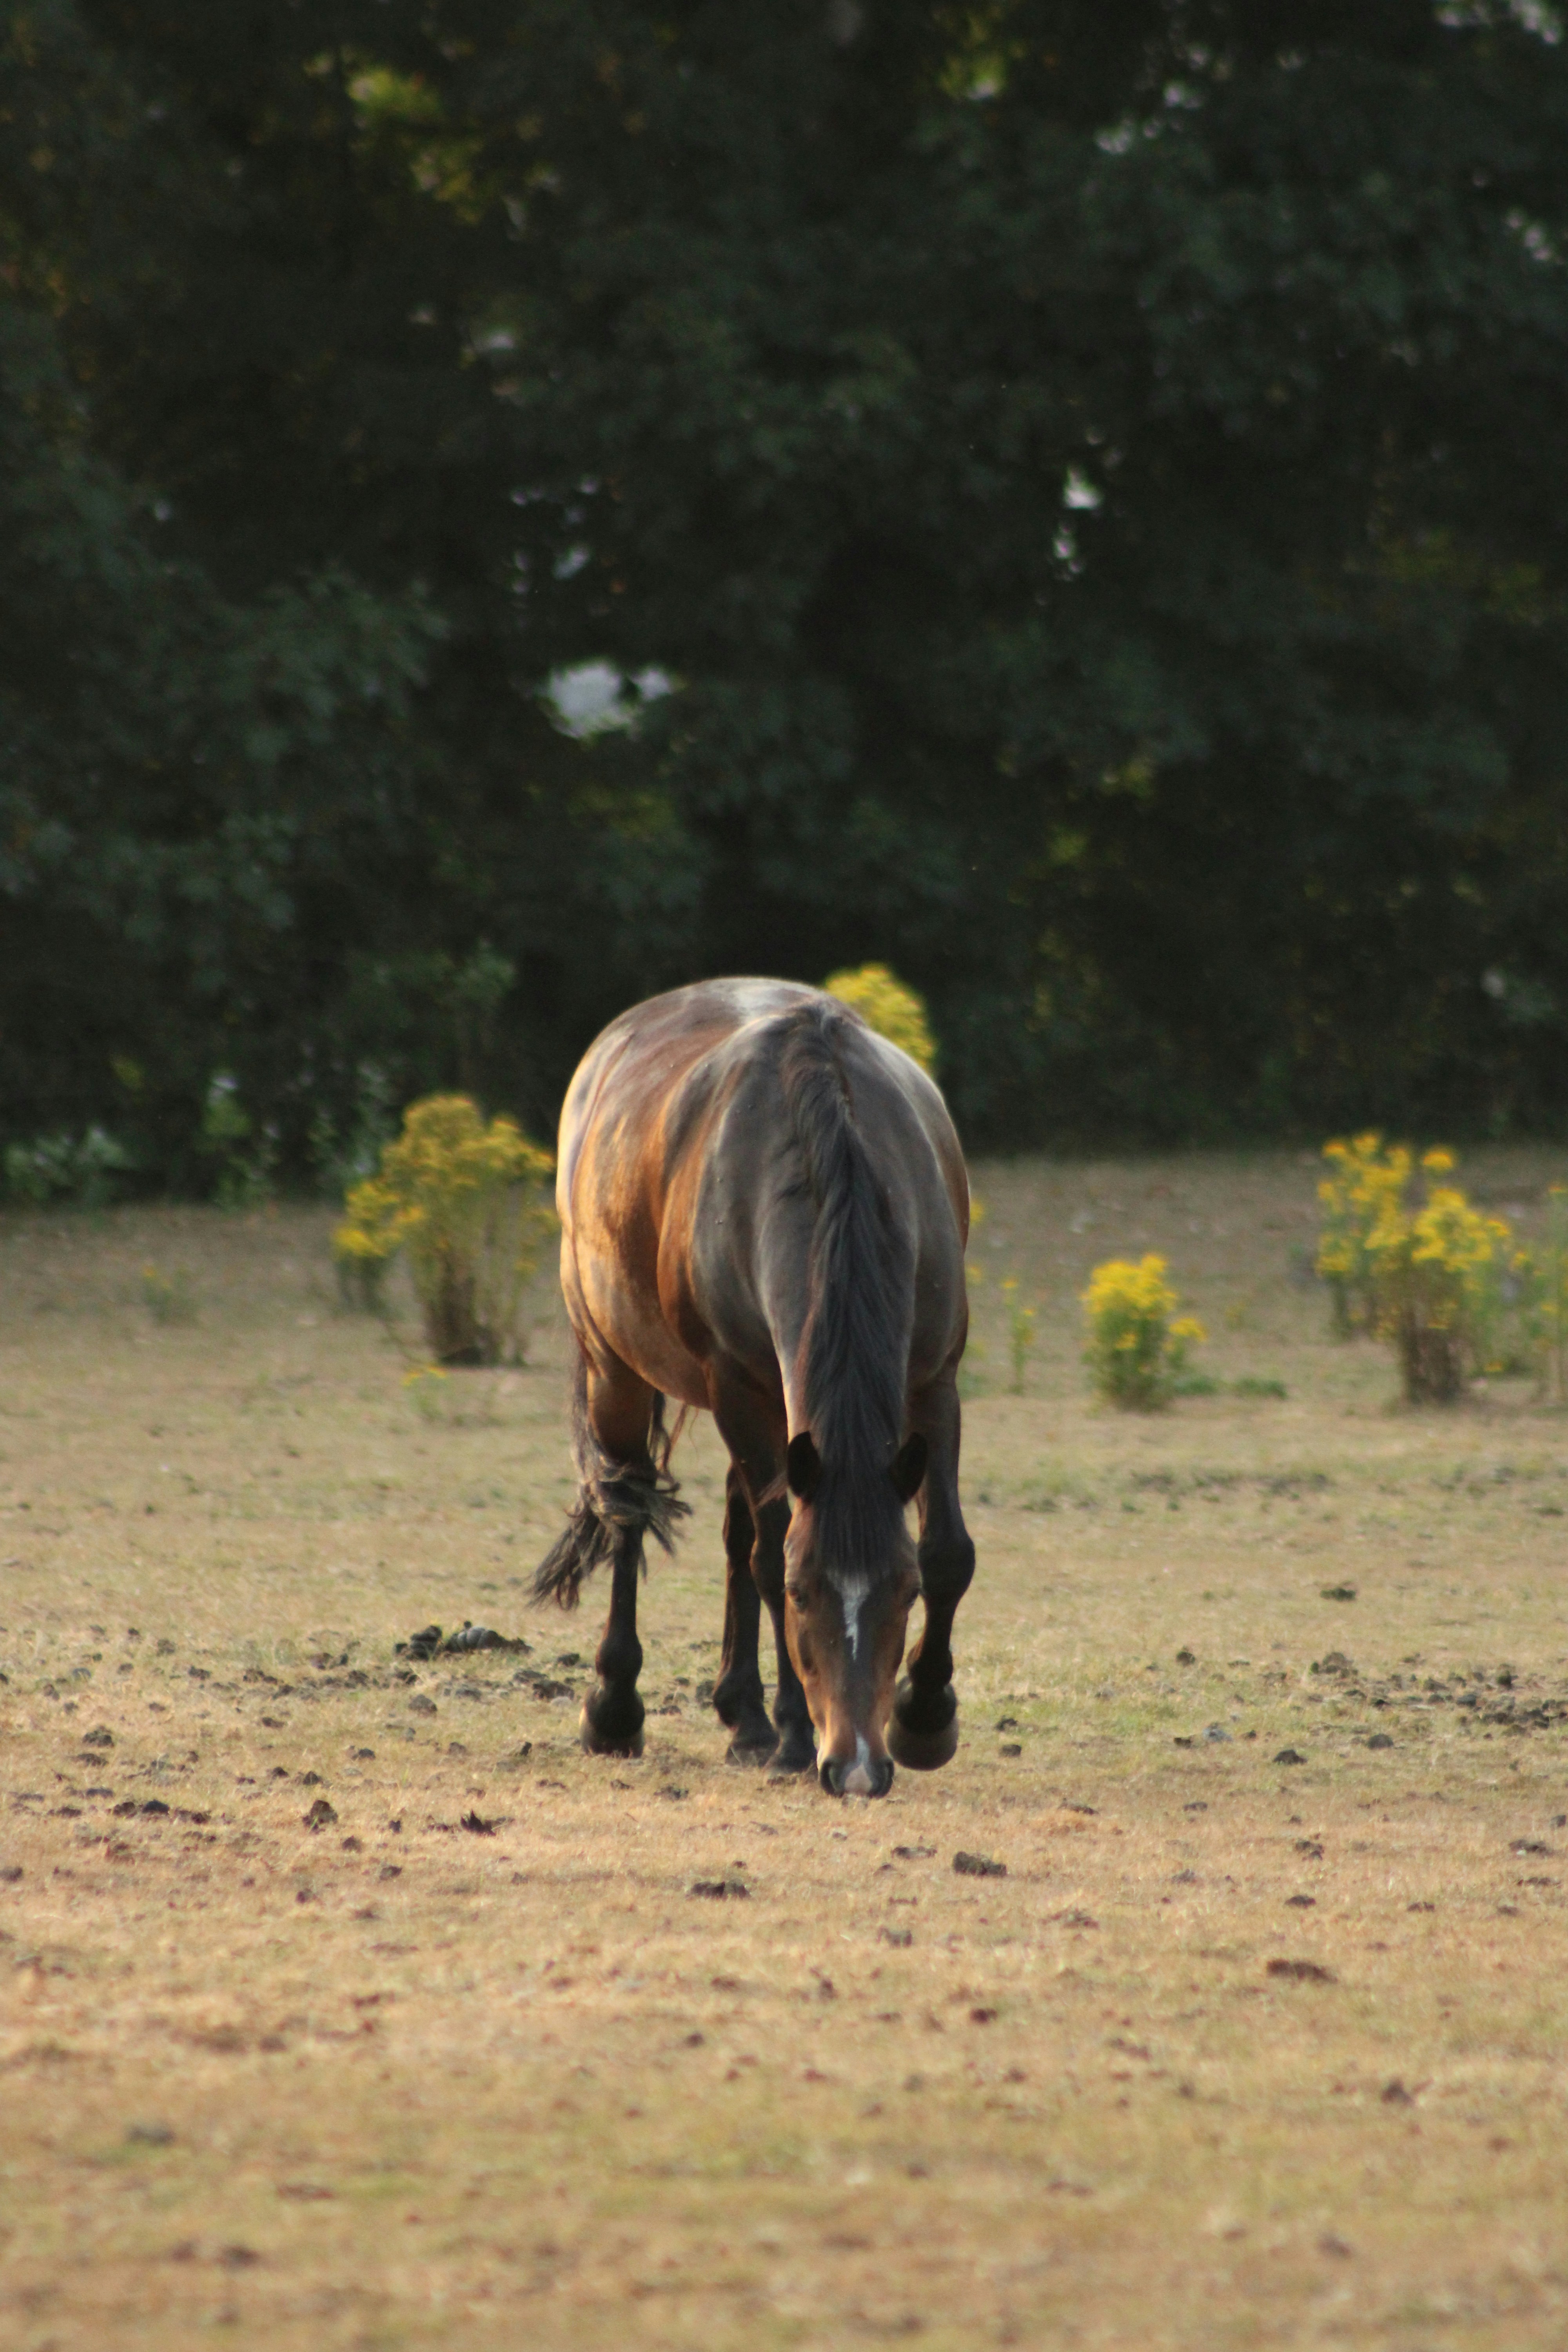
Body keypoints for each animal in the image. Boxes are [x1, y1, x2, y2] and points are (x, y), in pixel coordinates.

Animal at [532, 977, 975, 1797]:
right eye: (804, 1595)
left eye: (903, 1592)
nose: (857, 1769)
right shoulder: (738, 1388)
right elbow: (771, 1553)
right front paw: (799, 1733)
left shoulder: (934, 1382)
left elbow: (948, 1552)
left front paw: (925, 1717)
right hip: (624, 1374)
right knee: (629, 1510)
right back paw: (617, 1708)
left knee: (735, 1528)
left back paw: (743, 1714)